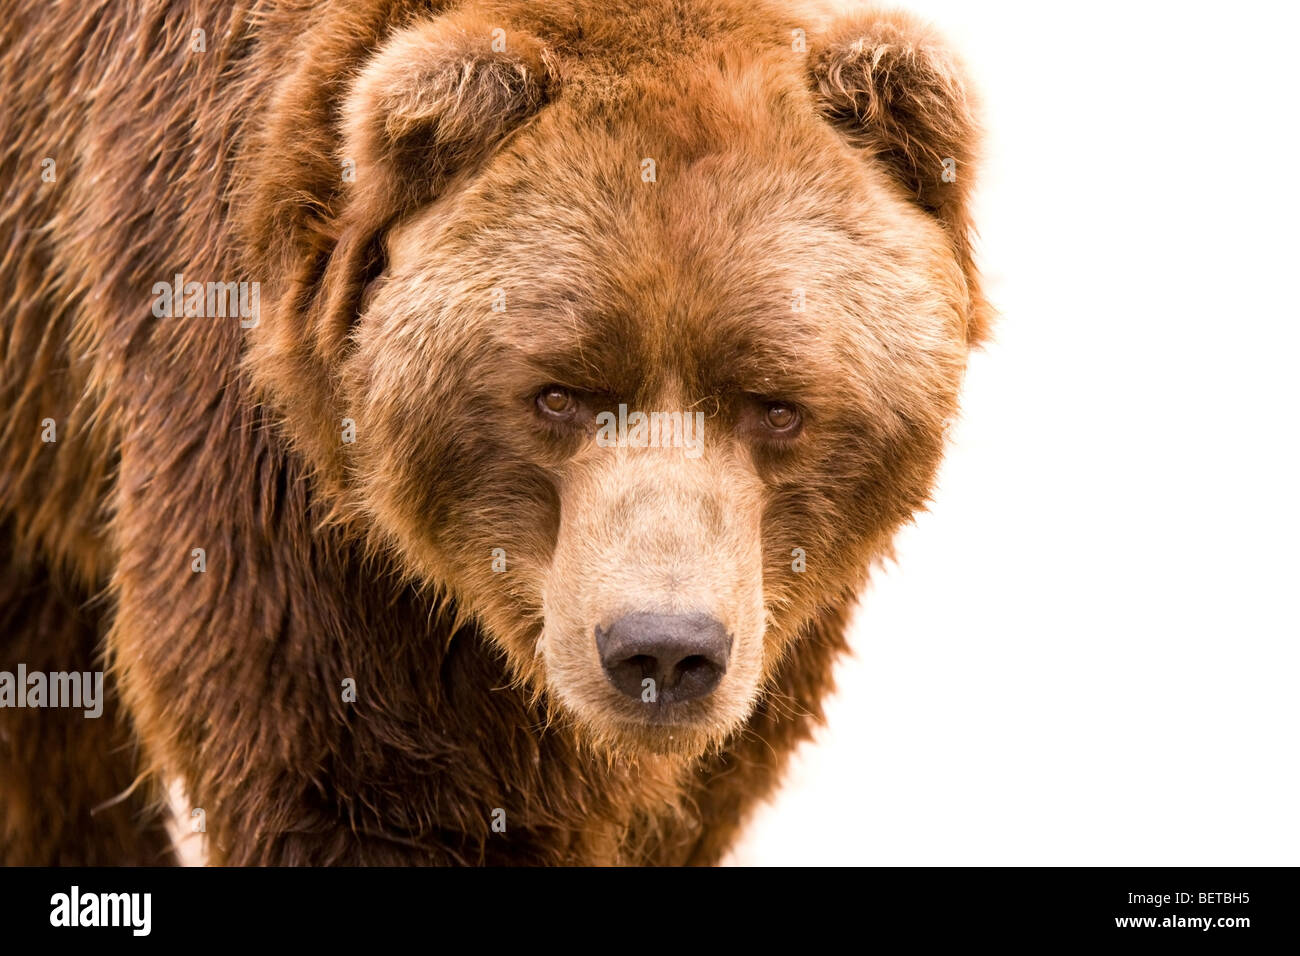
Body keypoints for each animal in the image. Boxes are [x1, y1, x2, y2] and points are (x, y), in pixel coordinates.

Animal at [0, 0, 988, 865]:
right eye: (557, 394)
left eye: (776, 403)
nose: (663, 651)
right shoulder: (277, 477)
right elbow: (349, 776)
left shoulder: (774, 610)